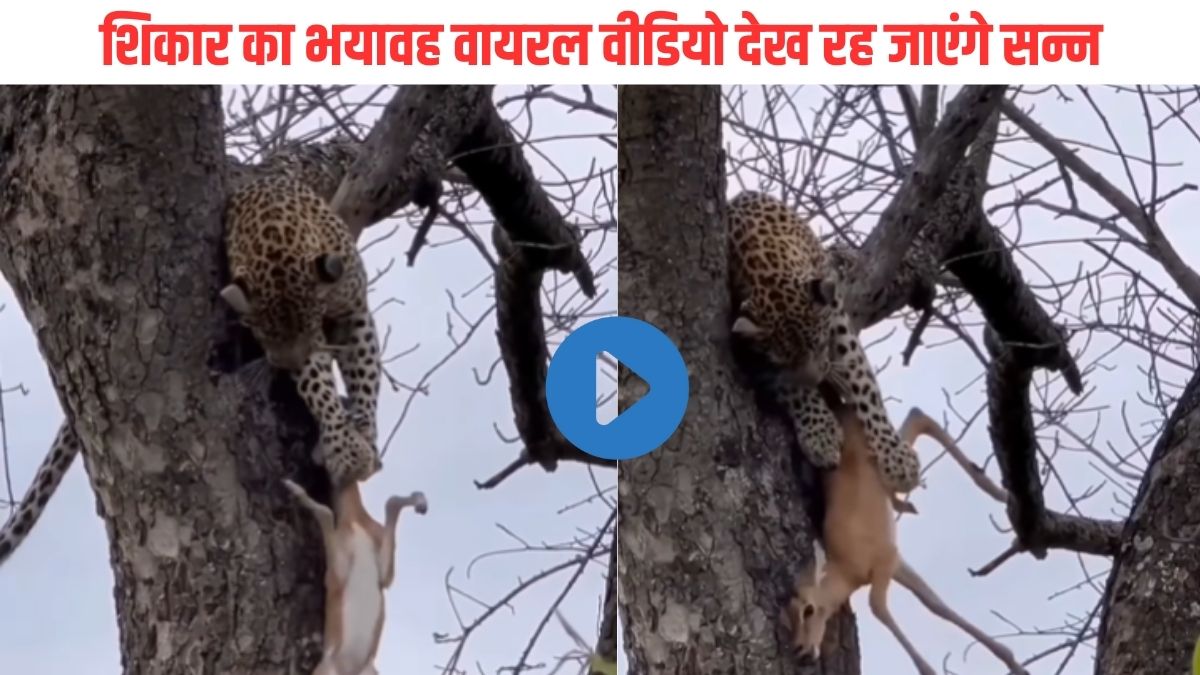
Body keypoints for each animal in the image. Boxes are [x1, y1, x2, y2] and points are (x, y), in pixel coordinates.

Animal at [282, 477, 428, 675]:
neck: (356, 521)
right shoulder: (383, 574)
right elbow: (391, 503)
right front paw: (419, 500)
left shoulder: (336, 575)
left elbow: (327, 512)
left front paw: (294, 489)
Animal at [727, 190, 921, 494]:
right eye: (784, 360)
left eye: (819, 345)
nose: (816, 378)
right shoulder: (749, 351)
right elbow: (792, 387)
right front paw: (821, 435)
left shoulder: (838, 321)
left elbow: (863, 383)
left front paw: (894, 456)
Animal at [783, 398, 1029, 675]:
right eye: (788, 612)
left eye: (808, 609)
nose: (801, 651)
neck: (847, 568)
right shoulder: (897, 564)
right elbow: (935, 604)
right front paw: (1014, 663)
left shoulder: (885, 560)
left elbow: (878, 608)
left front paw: (929, 670)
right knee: (916, 418)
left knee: (917, 417)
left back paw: (1001, 495)